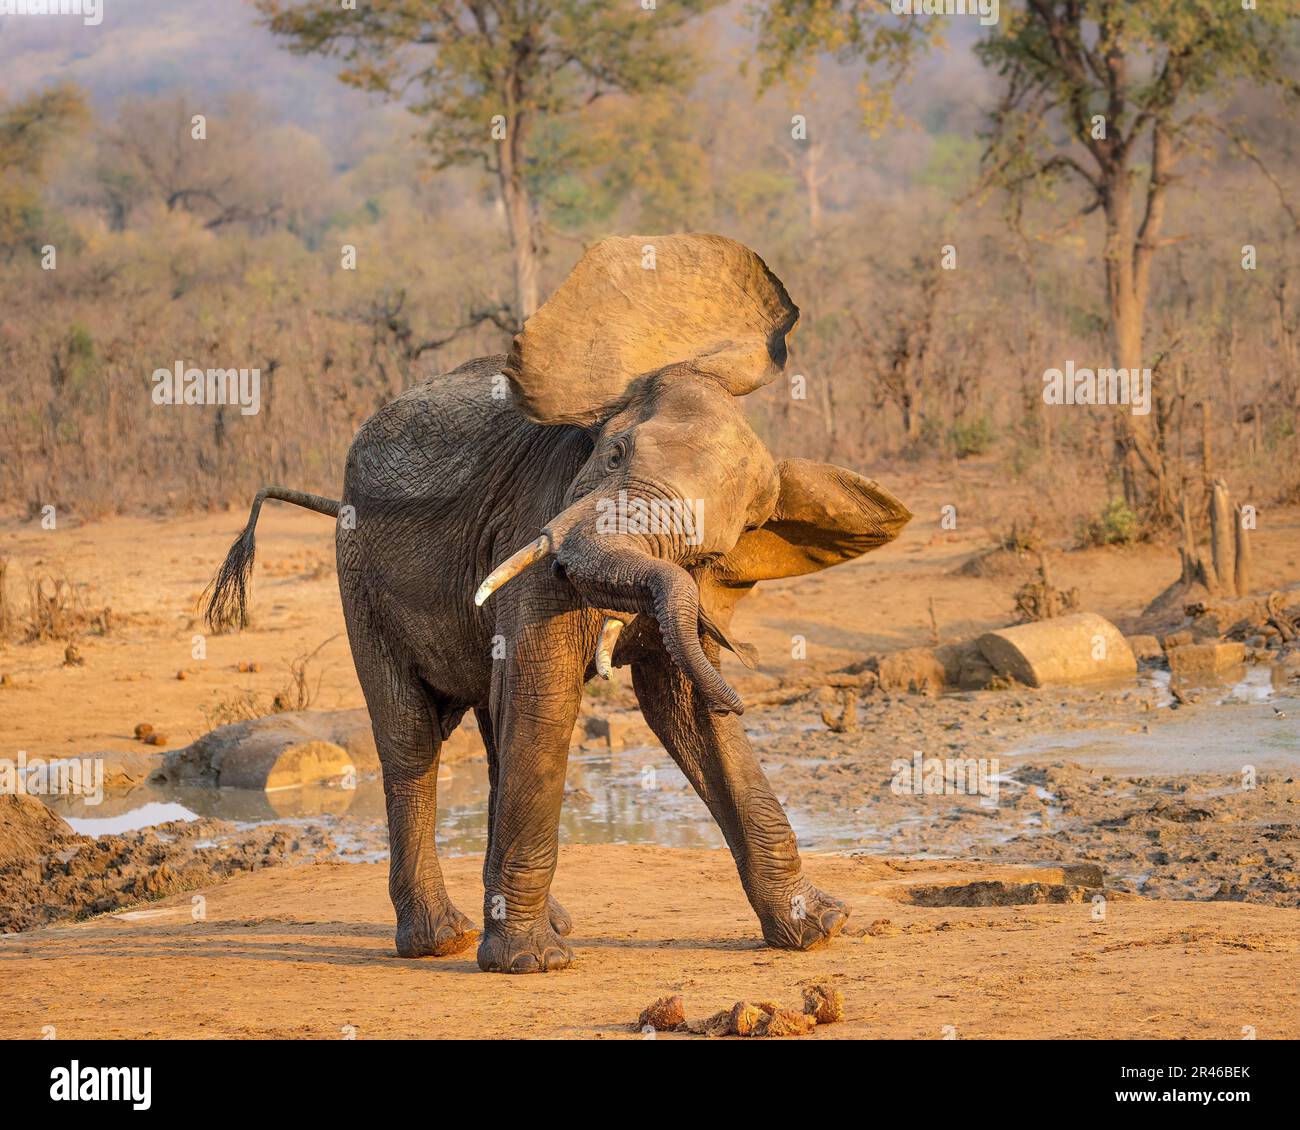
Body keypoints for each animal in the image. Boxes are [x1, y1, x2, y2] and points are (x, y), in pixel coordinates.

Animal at [205, 233, 911, 974]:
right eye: (616, 453)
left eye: (710, 551)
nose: (748, 690)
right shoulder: (538, 515)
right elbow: (546, 693)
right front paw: (531, 964)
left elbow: (684, 704)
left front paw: (823, 927)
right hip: (359, 574)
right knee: (411, 737)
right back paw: (443, 940)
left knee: (492, 727)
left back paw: (538, 923)